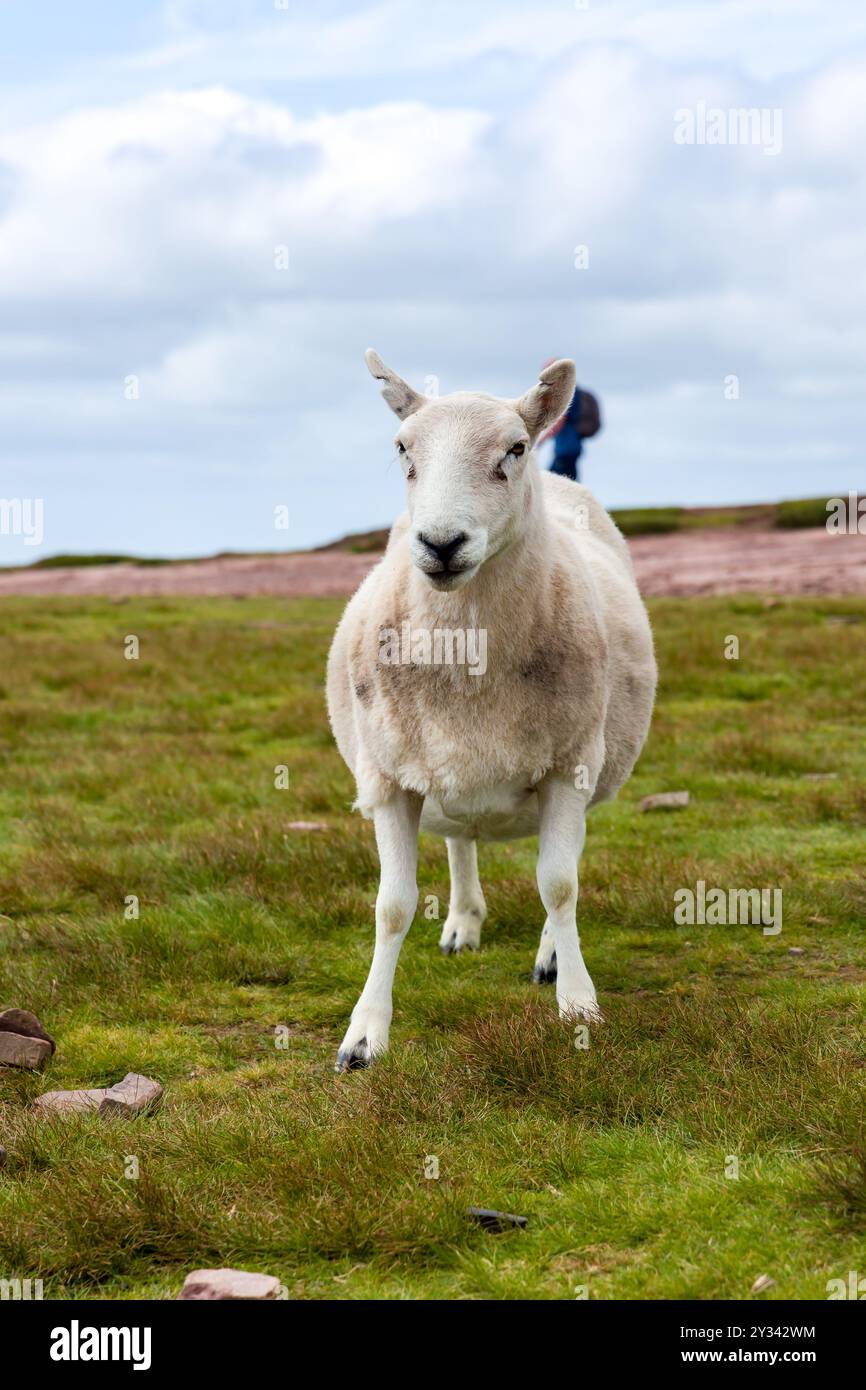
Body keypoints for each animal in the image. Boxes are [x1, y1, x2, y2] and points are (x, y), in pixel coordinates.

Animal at [327, 351, 657, 1071]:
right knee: (459, 838)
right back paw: (463, 922)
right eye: (402, 448)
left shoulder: (568, 766)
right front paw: (364, 1035)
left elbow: (559, 885)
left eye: (514, 448)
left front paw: (577, 1004)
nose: (441, 543)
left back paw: (550, 954)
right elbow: (391, 907)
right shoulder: (389, 777)